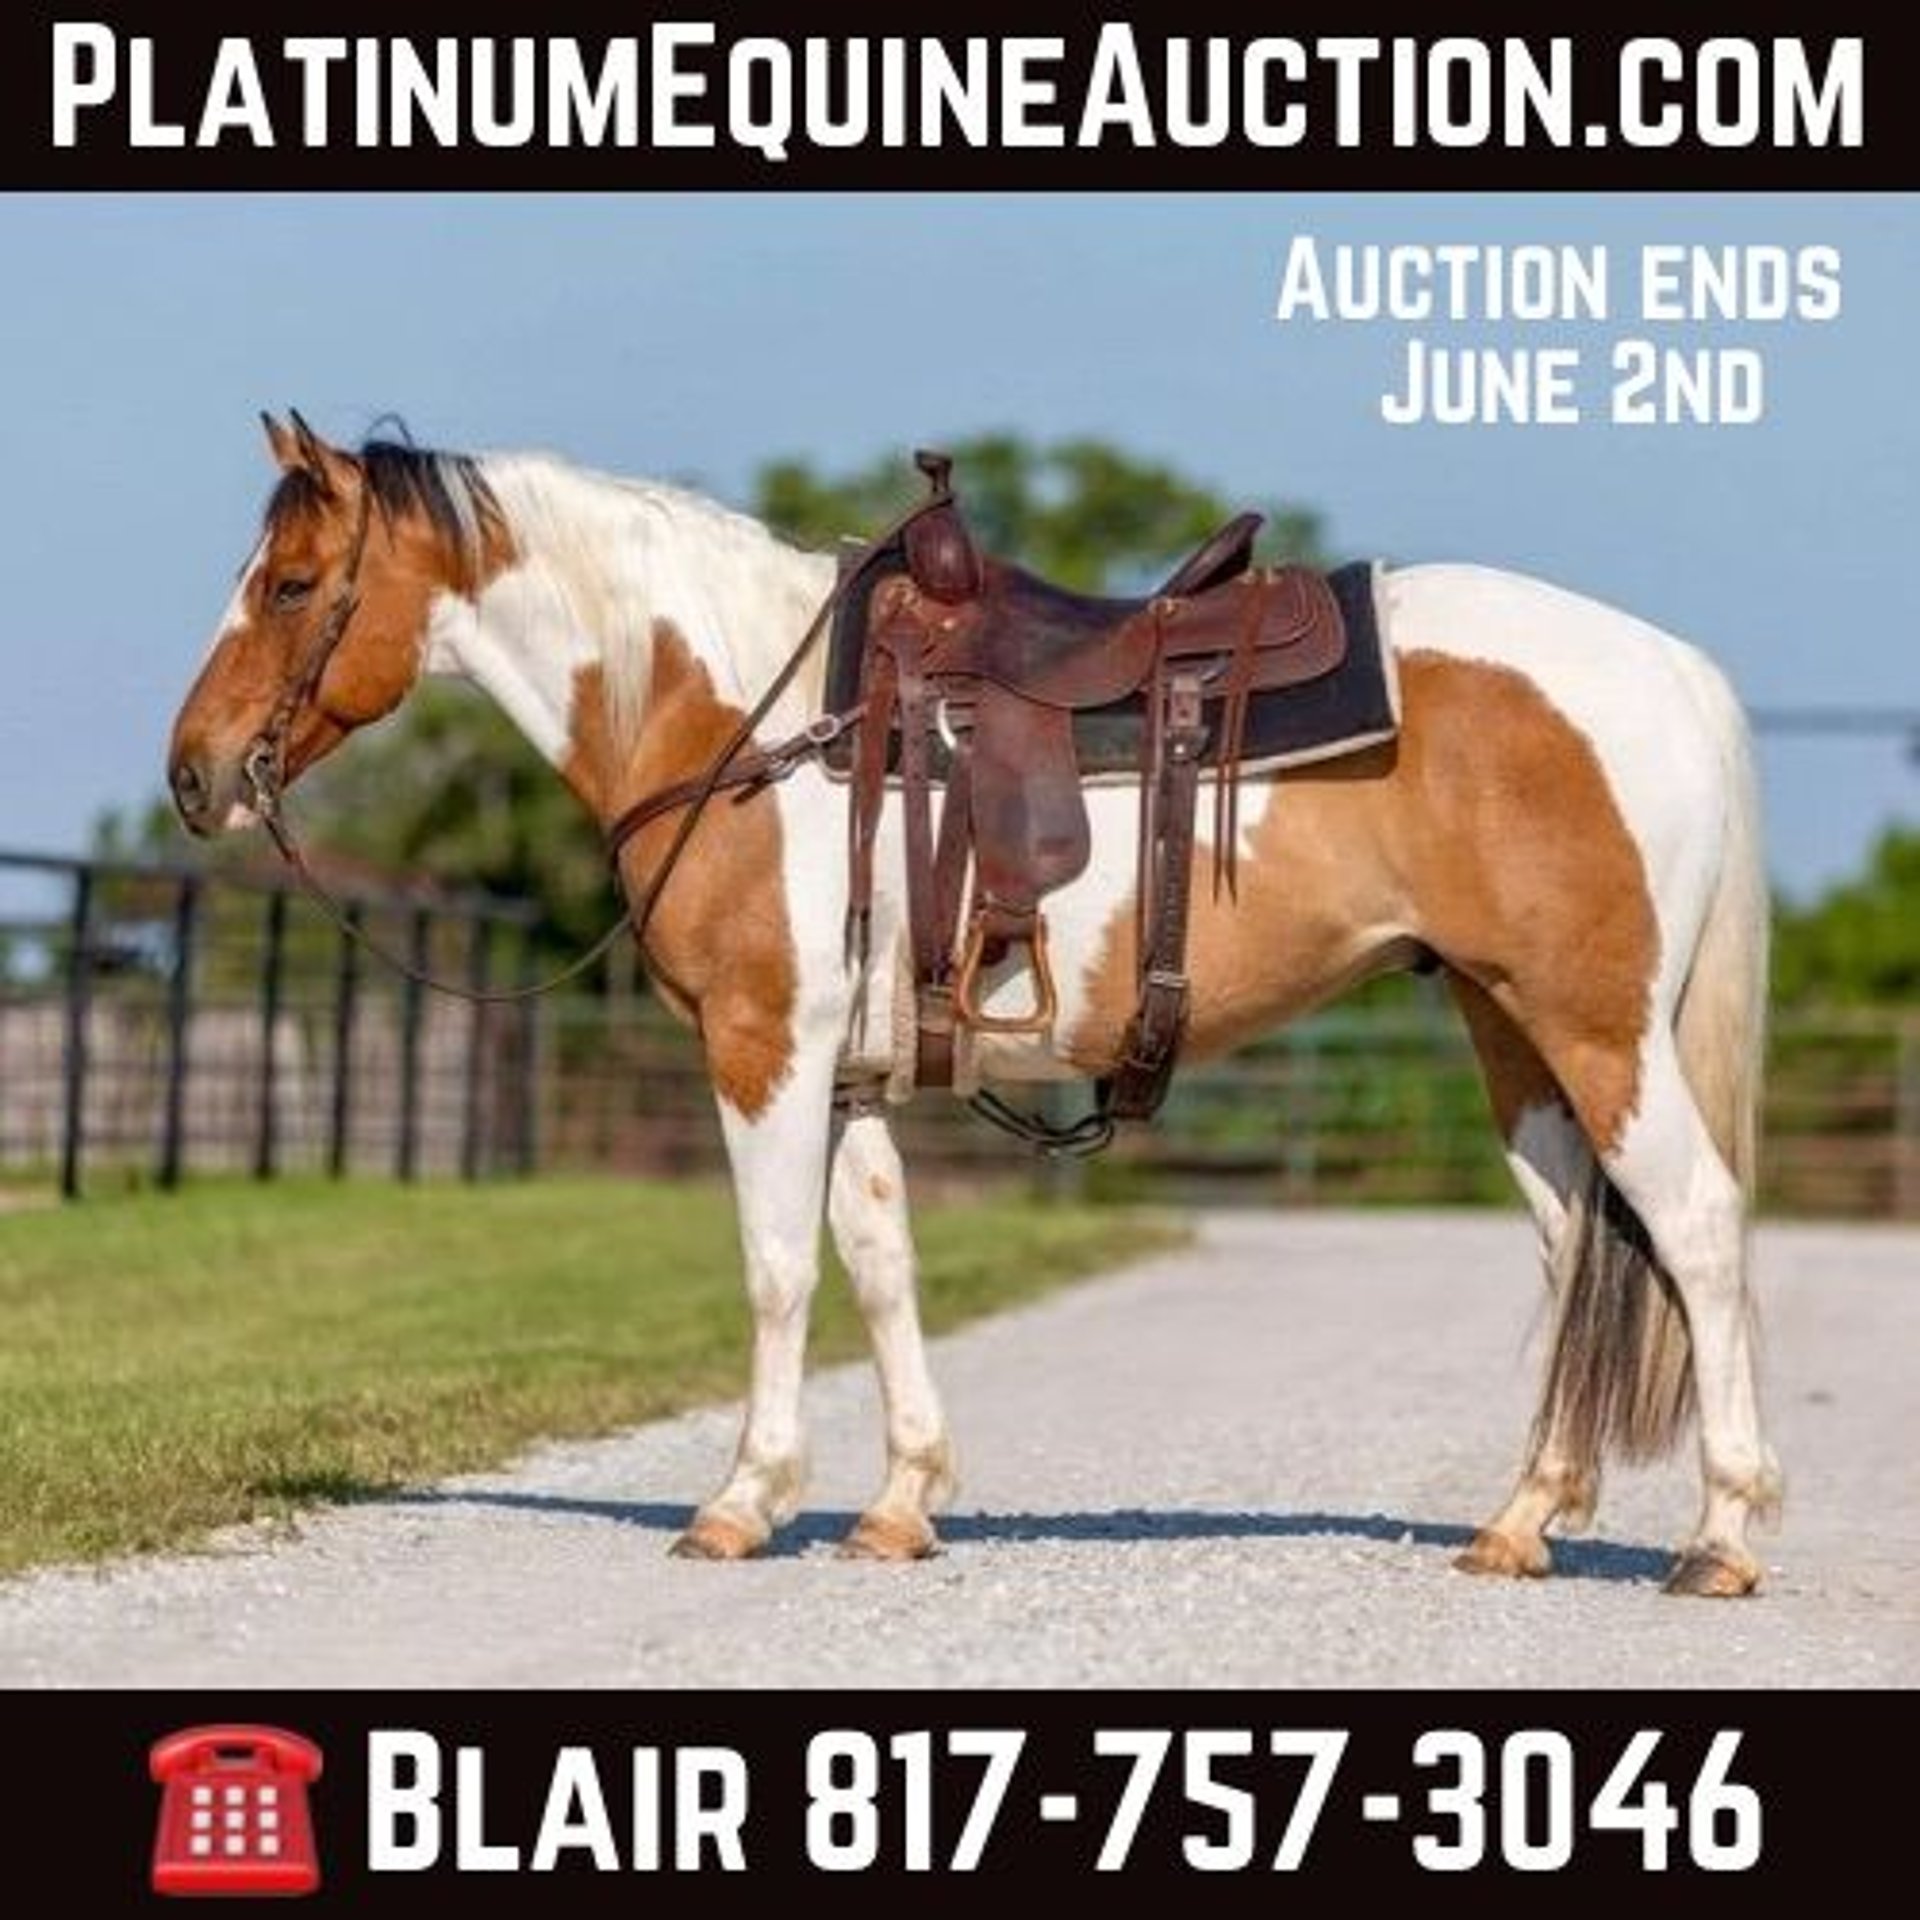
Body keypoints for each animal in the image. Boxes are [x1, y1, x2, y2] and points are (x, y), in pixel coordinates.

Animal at [166, 414, 1782, 1596]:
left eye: (291, 587)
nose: (194, 774)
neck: (746, 716)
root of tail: (1672, 669)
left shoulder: (764, 1048)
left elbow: (776, 1272)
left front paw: (742, 1502)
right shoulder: (850, 1073)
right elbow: (880, 1268)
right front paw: (899, 1504)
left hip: (1599, 1033)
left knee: (1697, 1228)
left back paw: (1720, 1535)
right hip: (1515, 1037)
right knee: (1576, 1247)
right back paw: (1522, 1523)